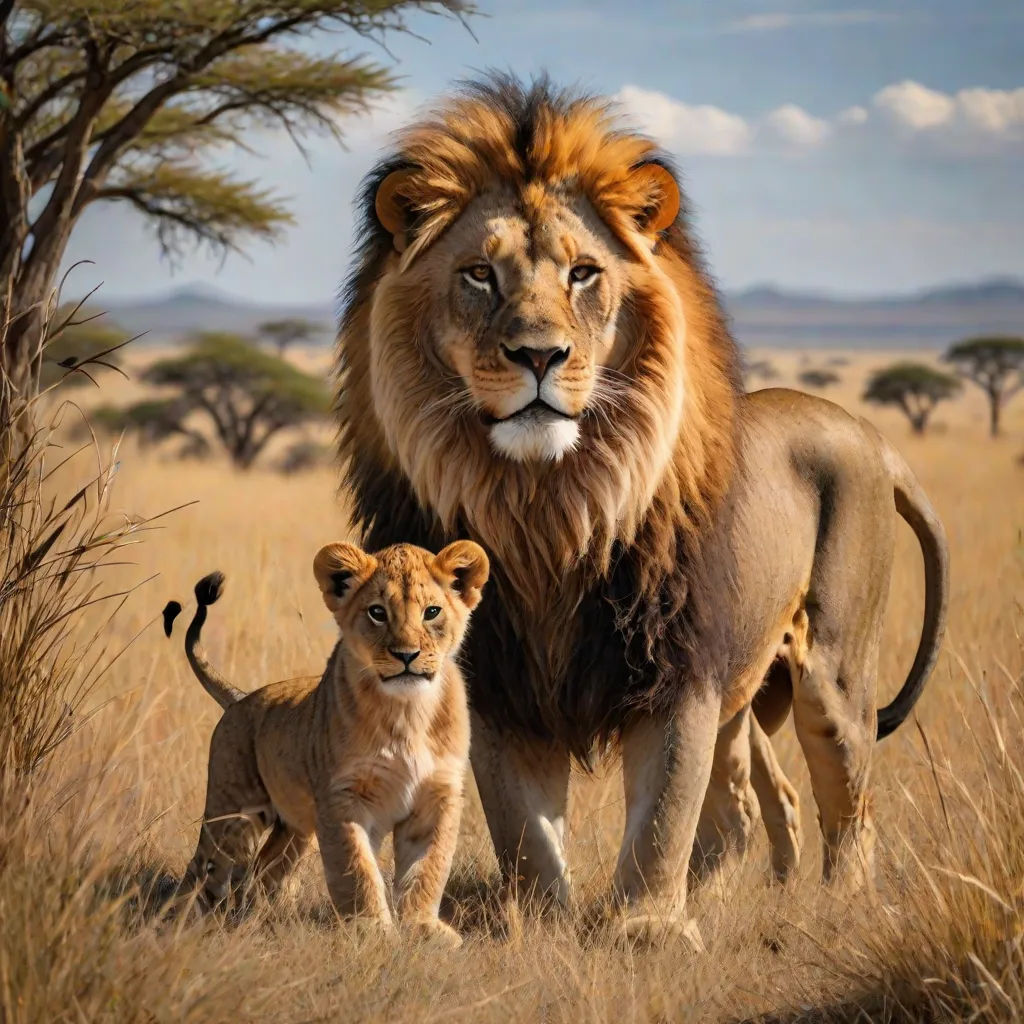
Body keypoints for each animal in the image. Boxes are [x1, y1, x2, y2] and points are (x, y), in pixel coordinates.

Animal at [168, 540, 489, 947]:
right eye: (377, 613)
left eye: (432, 612)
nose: (406, 655)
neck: (407, 711)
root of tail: (240, 698)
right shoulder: (343, 797)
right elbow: (356, 867)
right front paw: (371, 931)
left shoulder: (438, 794)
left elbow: (427, 868)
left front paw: (423, 930)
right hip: (233, 811)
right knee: (205, 864)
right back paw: (178, 922)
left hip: (294, 828)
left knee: (264, 869)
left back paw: (259, 919)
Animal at [335, 75, 948, 945]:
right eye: (480, 275)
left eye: (584, 274)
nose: (538, 355)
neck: (550, 508)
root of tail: (870, 434)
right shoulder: (501, 683)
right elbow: (524, 827)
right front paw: (542, 926)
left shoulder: (678, 669)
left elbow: (662, 815)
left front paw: (646, 928)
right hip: (746, 694)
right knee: (750, 810)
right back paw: (721, 900)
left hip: (833, 671)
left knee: (850, 800)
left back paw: (843, 909)